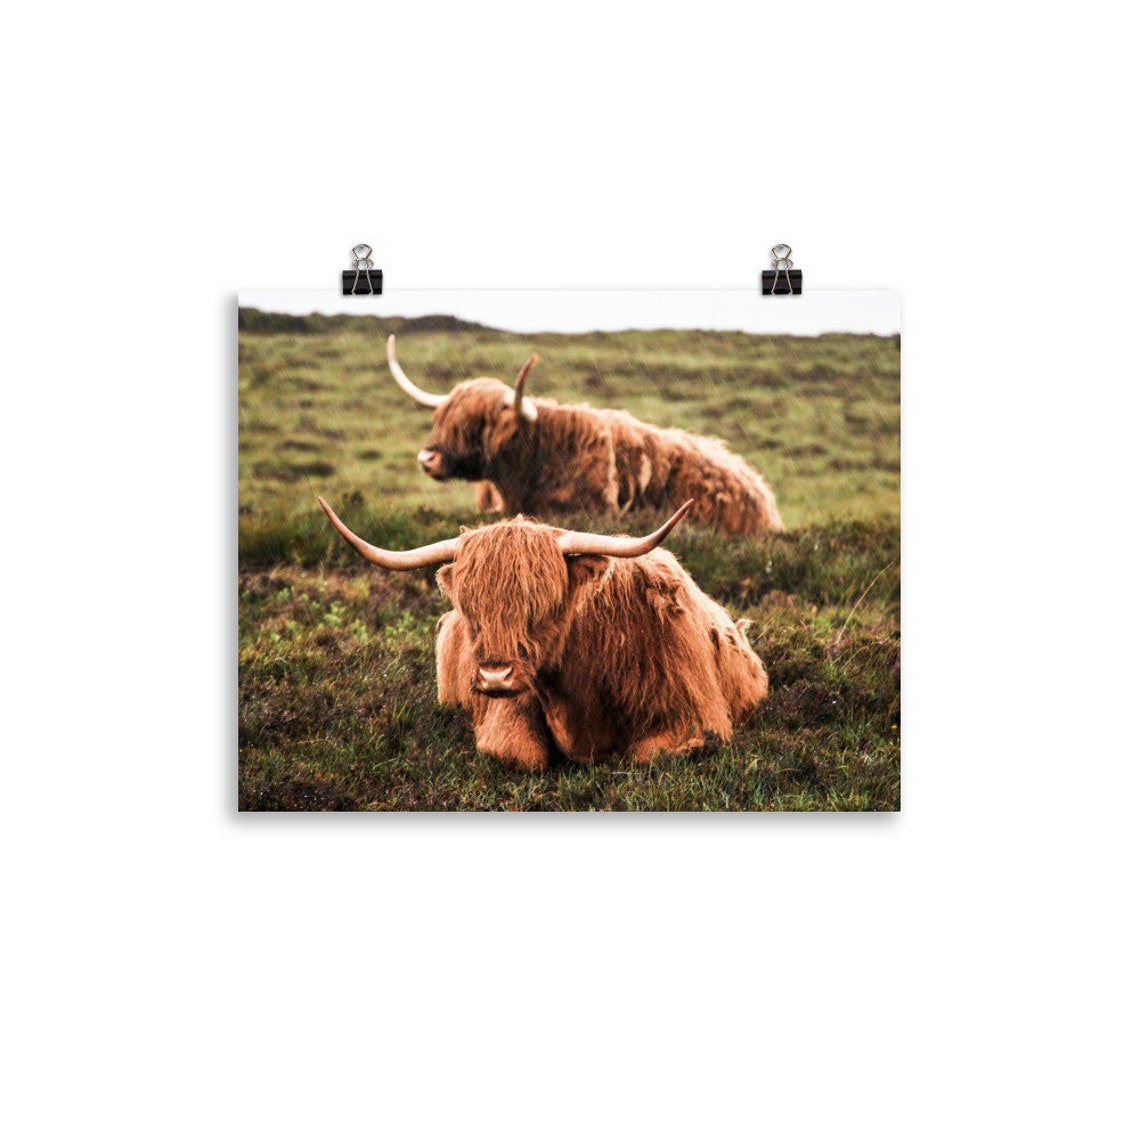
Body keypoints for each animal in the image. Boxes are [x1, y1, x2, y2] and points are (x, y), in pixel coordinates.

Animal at [317, 495, 769, 771]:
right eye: (472, 609)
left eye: (541, 605)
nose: (495, 676)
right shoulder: (507, 715)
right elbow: (523, 755)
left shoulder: (695, 720)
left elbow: (646, 754)